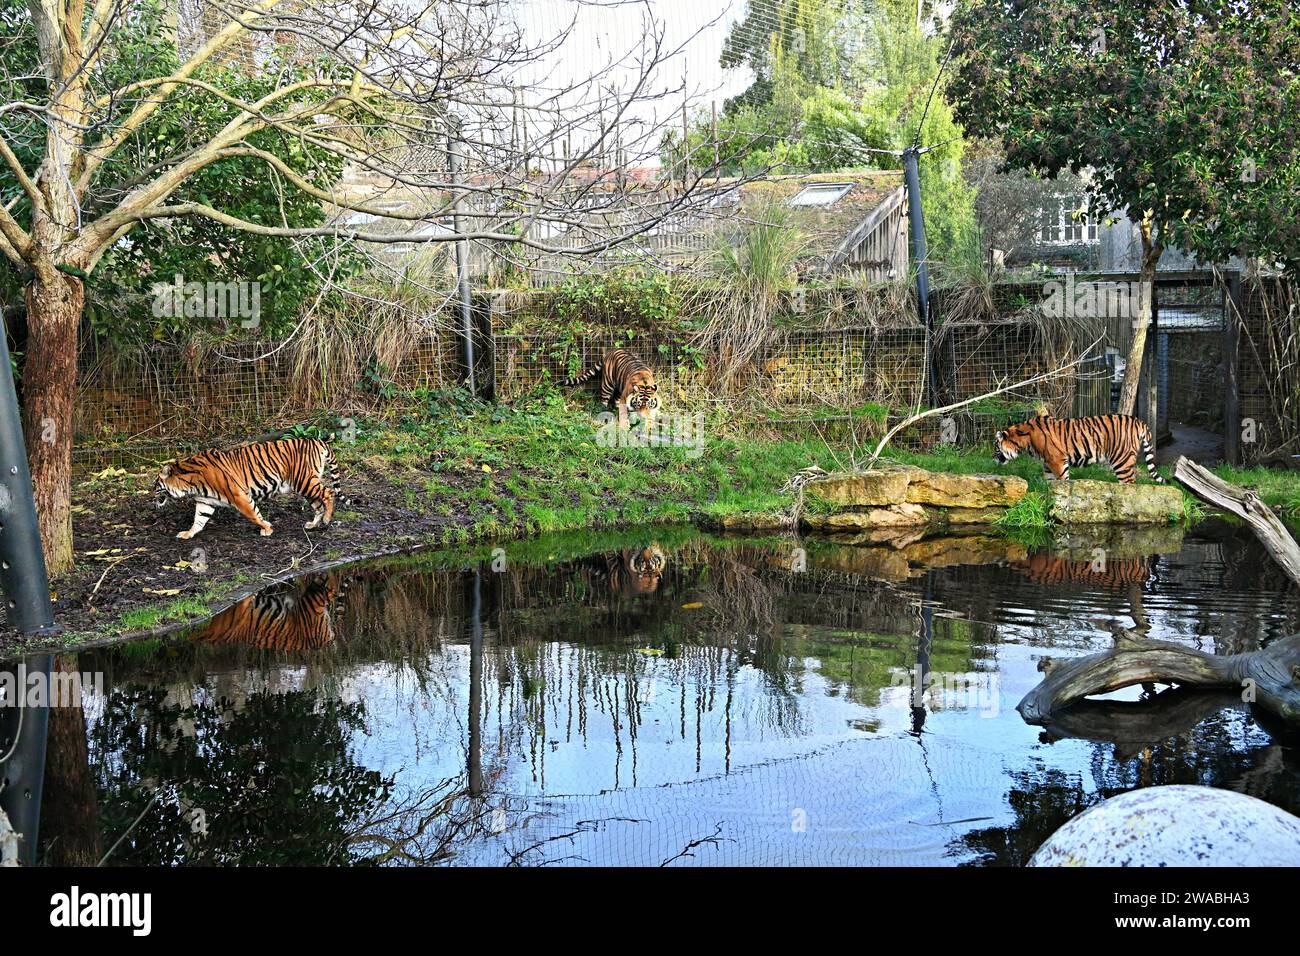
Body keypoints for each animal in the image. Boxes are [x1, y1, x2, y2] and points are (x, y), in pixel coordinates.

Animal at [153, 436, 339, 539]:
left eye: (155, 484)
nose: (152, 498)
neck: (191, 485)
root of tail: (317, 441)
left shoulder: (238, 495)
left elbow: (253, 514)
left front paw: (266, 528)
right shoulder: (205, 501)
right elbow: (198, 520)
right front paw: (187, 533)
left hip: (305, 481)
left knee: (329, 493)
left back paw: (326, 520)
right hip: (306, 485)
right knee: (318, 504)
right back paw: (313, 524)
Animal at [992, 413, 1166, 484]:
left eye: (995, 447)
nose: (992, 458)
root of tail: (1139, 421)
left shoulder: (1057, 461)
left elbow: (1063, 479)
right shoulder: (1048, 464)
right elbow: (1050, 481)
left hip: (1121, 460)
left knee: (1130, 483)